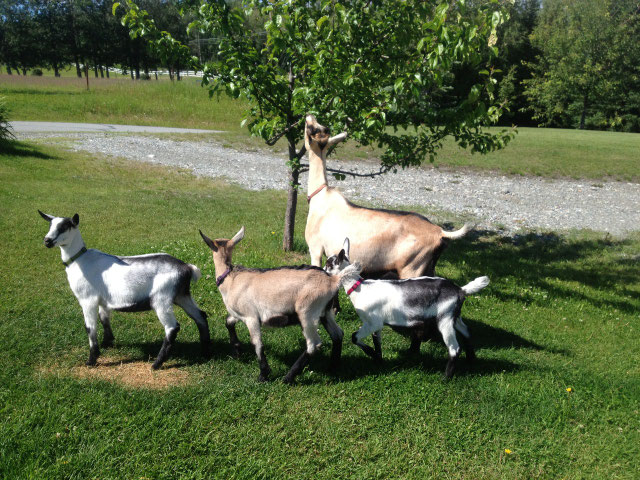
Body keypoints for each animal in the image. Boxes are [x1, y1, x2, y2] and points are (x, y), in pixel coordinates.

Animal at [38, 210, 211, 369]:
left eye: (63, 227)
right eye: (50, 225)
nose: (47, 240)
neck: (79, 260)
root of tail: (186, 267)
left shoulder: (88, 300)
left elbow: (90, 327)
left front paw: (92, 360)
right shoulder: (103, 301)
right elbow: (104, 318)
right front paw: (107, 343)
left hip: (162, 299)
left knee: (172, 327)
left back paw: (157, 364)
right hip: (182, 295)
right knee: (200, 316)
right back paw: (204, 352)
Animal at [199, 226, 358, 384]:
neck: (230, 279)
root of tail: (334, 280)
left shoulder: (251, 317)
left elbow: (257, 343)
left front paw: (263, 374)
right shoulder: (238, 314)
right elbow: (228, 322)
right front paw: (237, 350)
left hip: (307, 311)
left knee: (313, 344)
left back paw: (288, 377)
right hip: (326, 312)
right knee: (338, 334)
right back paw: (333, 367)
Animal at [304, 114, 471, 279]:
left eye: (313, 129)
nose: (309, 115)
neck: (321, 196)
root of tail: (439, 232)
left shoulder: (315, 249)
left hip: (412, 269)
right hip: (428, 269)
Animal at [325, 238, 489, 378]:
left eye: (329, 265)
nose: (322, 270)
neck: (360, 287)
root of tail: (460, 290)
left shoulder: (372, 321)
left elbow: (354, 337)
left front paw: (371, 353)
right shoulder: (377, 323)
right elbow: (377, 340)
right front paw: (378, 358)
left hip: (445, 319)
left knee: (454, 348)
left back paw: (446, 377)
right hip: (455, 316)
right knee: (467, 332)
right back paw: (471, 360)